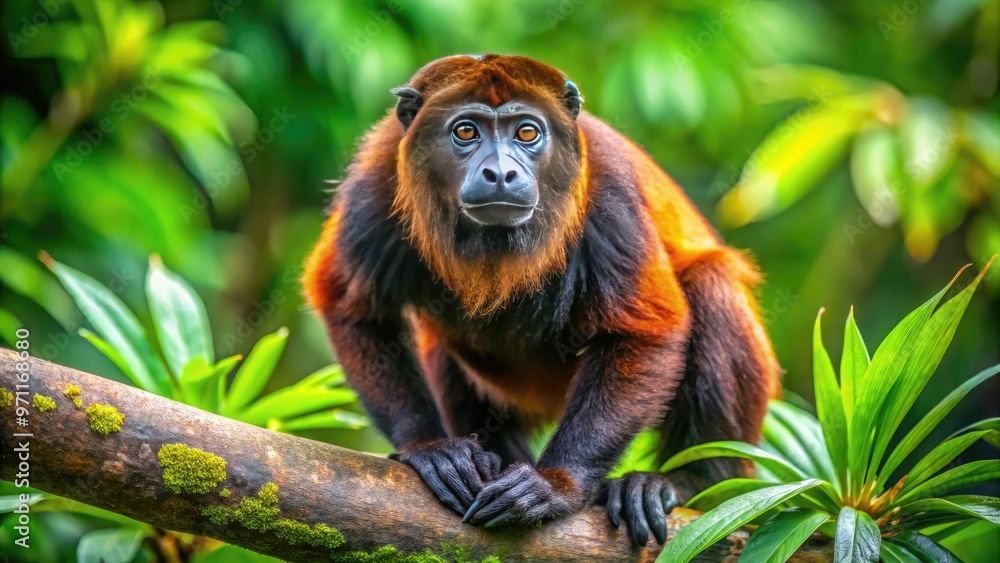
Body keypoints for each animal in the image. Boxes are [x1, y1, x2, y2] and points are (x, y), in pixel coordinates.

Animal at [303, 54, 779, 546]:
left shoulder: (609, 191)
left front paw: (555, 484)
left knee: (710, 281)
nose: (501, 173)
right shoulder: (375, 180)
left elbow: (647, 329)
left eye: (527, 133)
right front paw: (430, 448)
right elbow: (350, 306)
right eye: (466, 131)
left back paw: (687, 481)